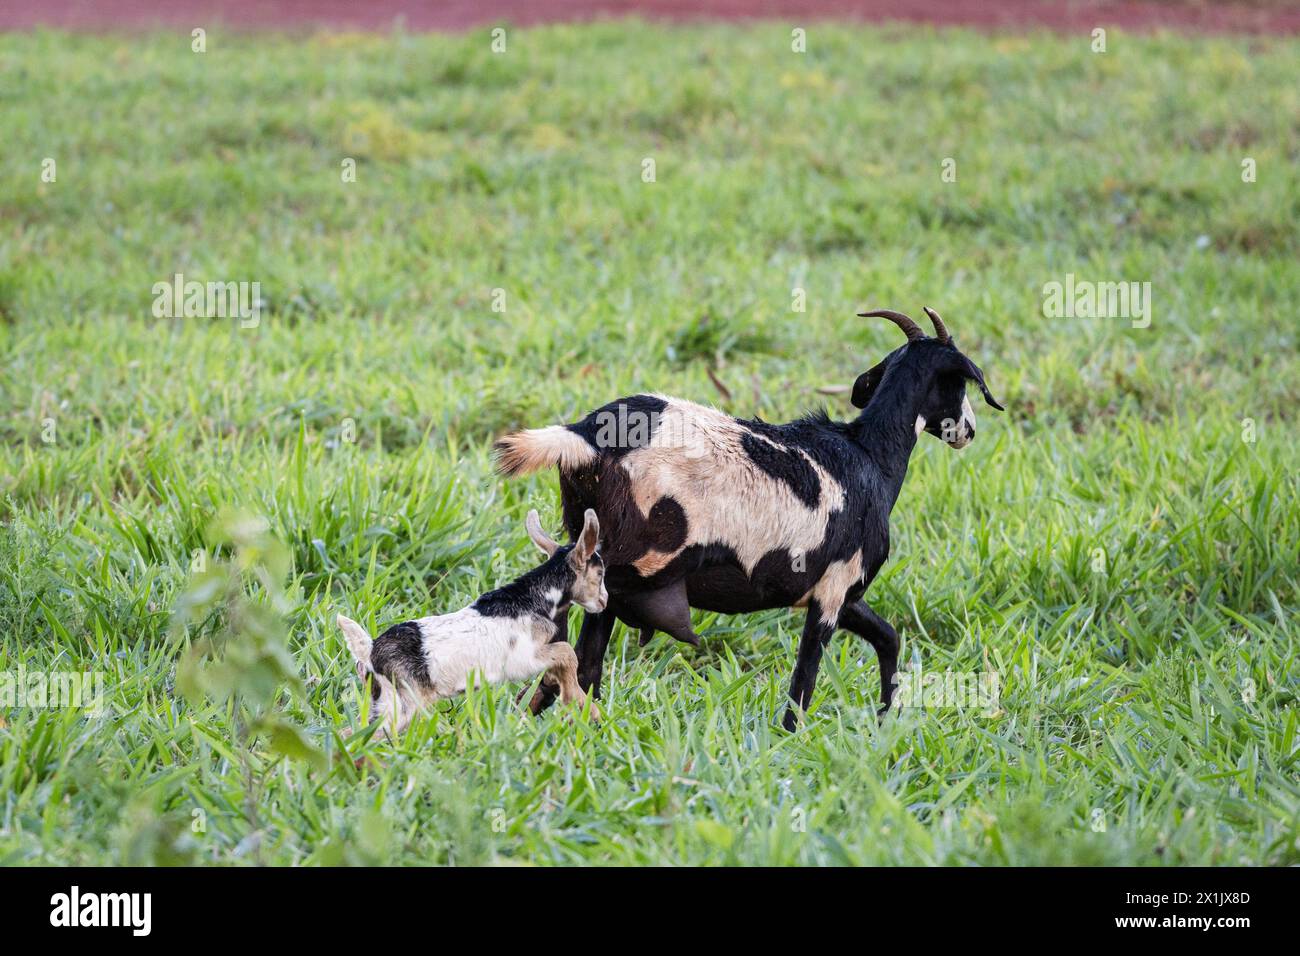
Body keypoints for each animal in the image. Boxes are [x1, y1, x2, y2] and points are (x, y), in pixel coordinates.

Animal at [336, 509, 606, 735]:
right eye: (600, 573)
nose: (604, 601)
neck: (531, 597)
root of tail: (370, 650)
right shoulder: (525, 658)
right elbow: (566, 652)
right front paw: (583, 708)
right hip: (403, 703)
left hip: (382, 699)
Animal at [495, 308, 1005, 731]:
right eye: (958, 384)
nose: (969, 430)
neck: (868, 455)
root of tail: (585, 435)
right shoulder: (833, 592)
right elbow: (804, 681)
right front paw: (792, 741)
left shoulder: (836, 592)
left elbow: (888, 638)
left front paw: (885, 718)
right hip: (624, 568)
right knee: (575, 657)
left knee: (580, 659)